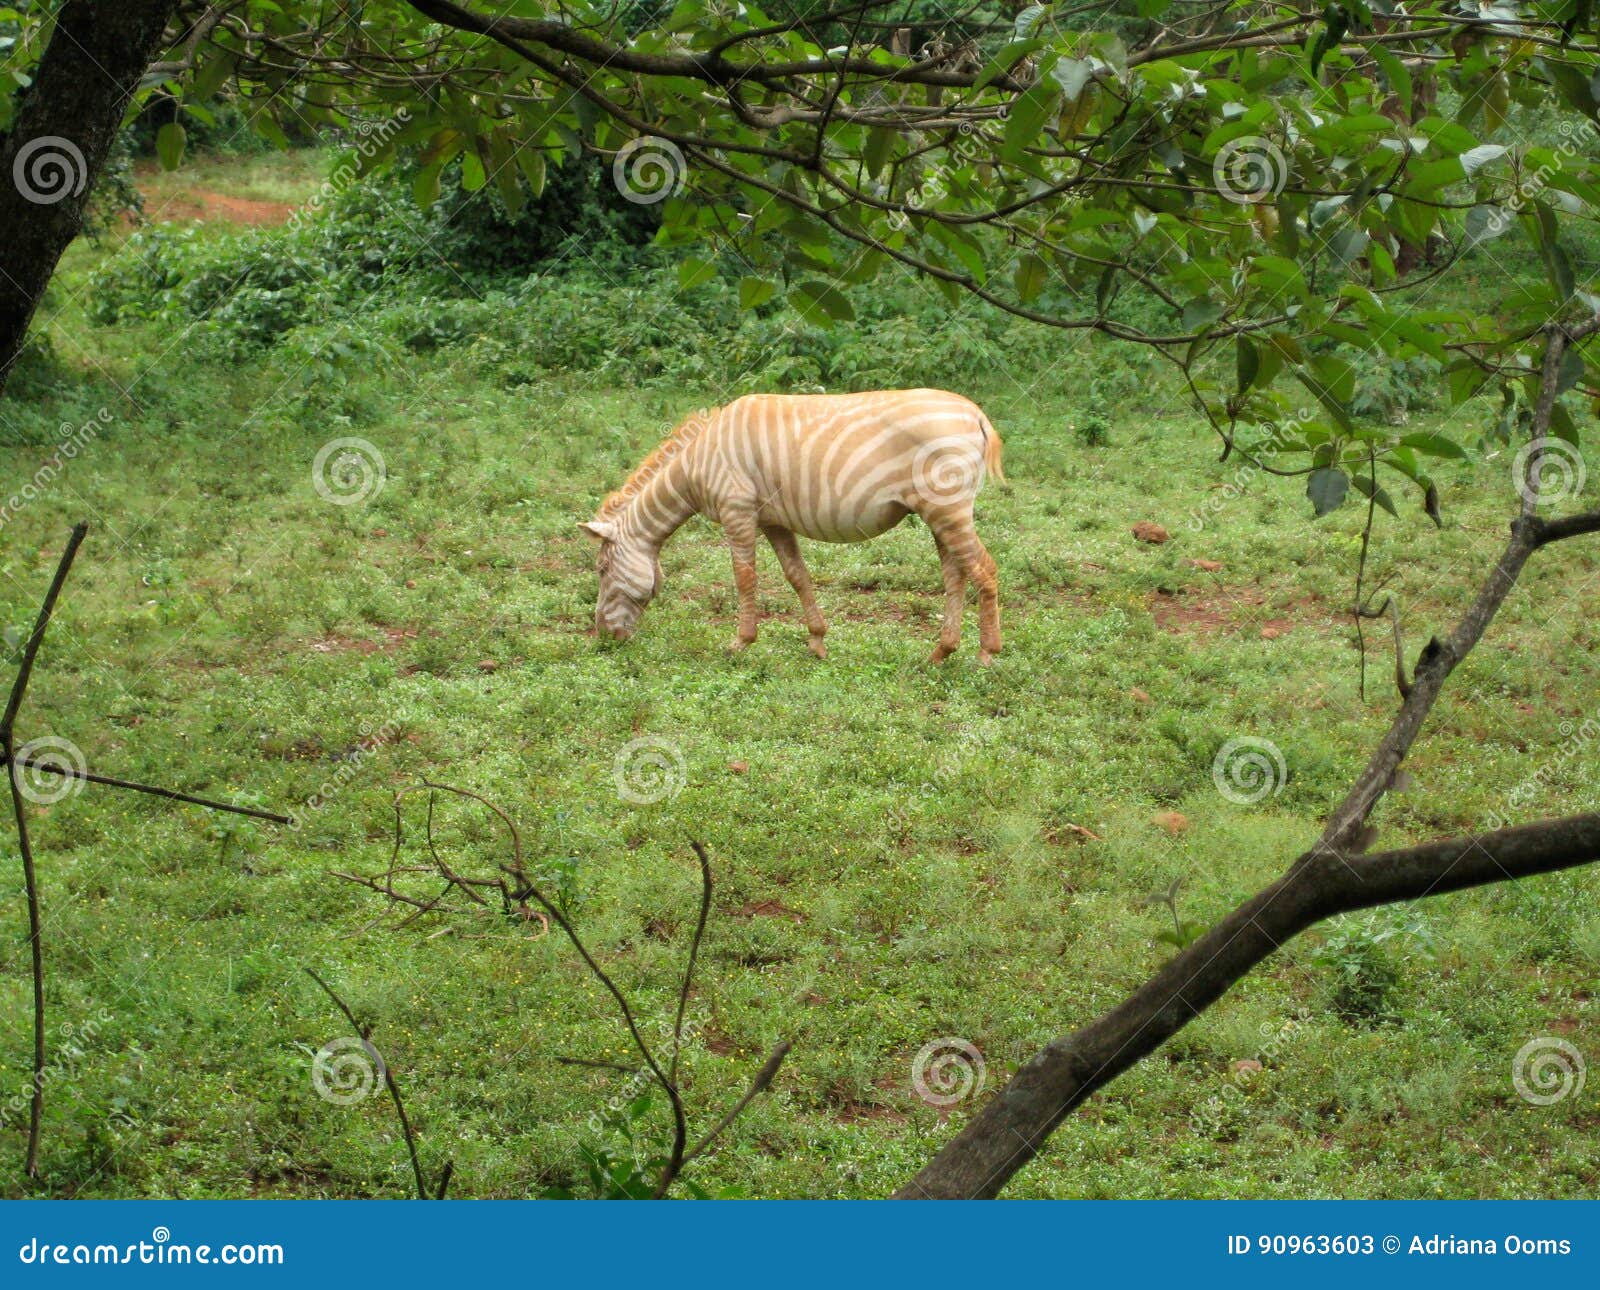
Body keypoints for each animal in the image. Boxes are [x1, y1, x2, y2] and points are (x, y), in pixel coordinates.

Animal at [580, 388, 1005, 662]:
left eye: (602, 570)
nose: (604, 638)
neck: (698, 462)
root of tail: (975, 413)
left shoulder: (737, 511)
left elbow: (744, 578)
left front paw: (740, 643)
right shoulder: (774, 521)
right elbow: (797, 576)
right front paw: (817, 642)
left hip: (947, 509)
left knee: (984, 569)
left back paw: (986, 654)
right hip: (938, 514)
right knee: (956, 574)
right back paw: (941, 652)